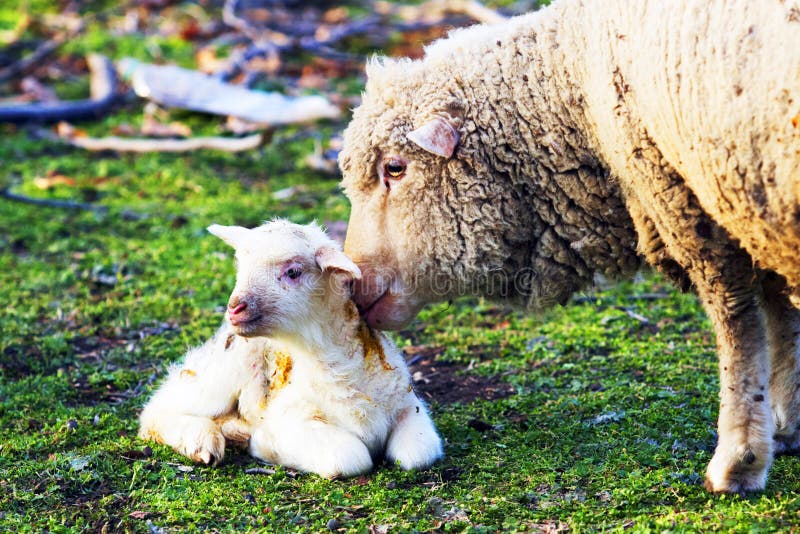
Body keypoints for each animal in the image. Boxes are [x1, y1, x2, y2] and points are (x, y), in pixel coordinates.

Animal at [138, 220, 443, 478]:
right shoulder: (291, 419)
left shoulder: (409, 406)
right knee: (156, 411)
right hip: (220, 375)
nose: (234, 307)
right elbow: (351, 457)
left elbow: (418, 455)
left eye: (293, 272)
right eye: (241, 268)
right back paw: (202, 441)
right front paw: (263, 444)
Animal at [337, 0, 800, 493]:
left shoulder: (692, 200)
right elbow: (782, 315)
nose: (355, 284)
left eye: (395, 168)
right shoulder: (752, 200)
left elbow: (737, 326)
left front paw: (739, 460)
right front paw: (787, 424)